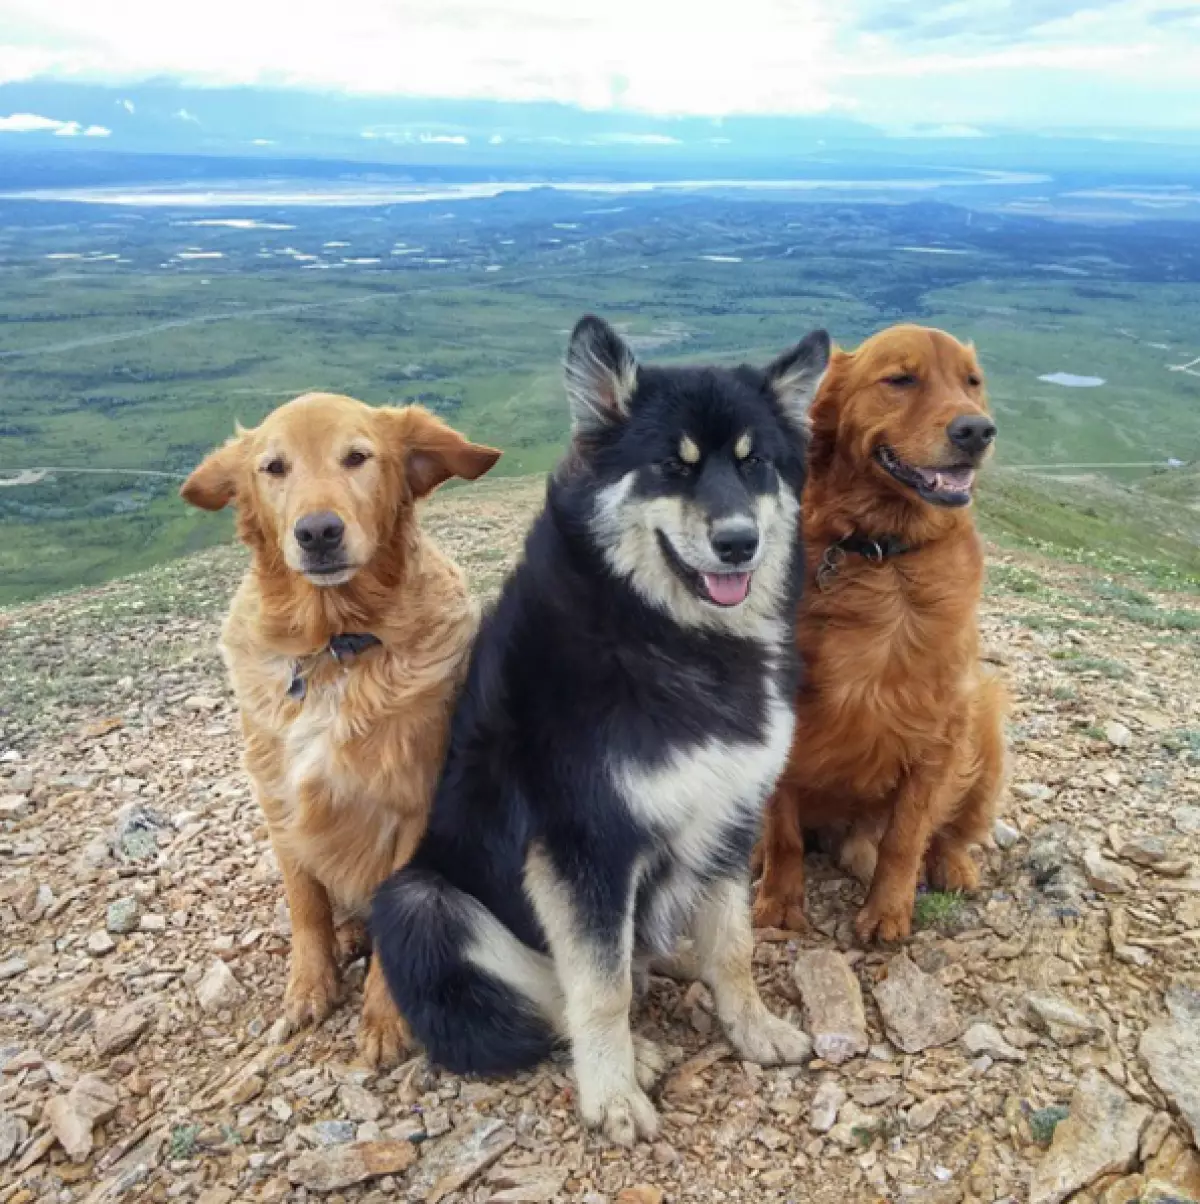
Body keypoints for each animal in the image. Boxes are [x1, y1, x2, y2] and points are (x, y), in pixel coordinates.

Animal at [181, 390, 495, 1059]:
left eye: (357, 457)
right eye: (273, 467)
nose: (318, 531)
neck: (335, 645)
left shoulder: (414, 806)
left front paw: (384, 1019)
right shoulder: (281, 800)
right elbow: (305, 905)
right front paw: (309, 986)